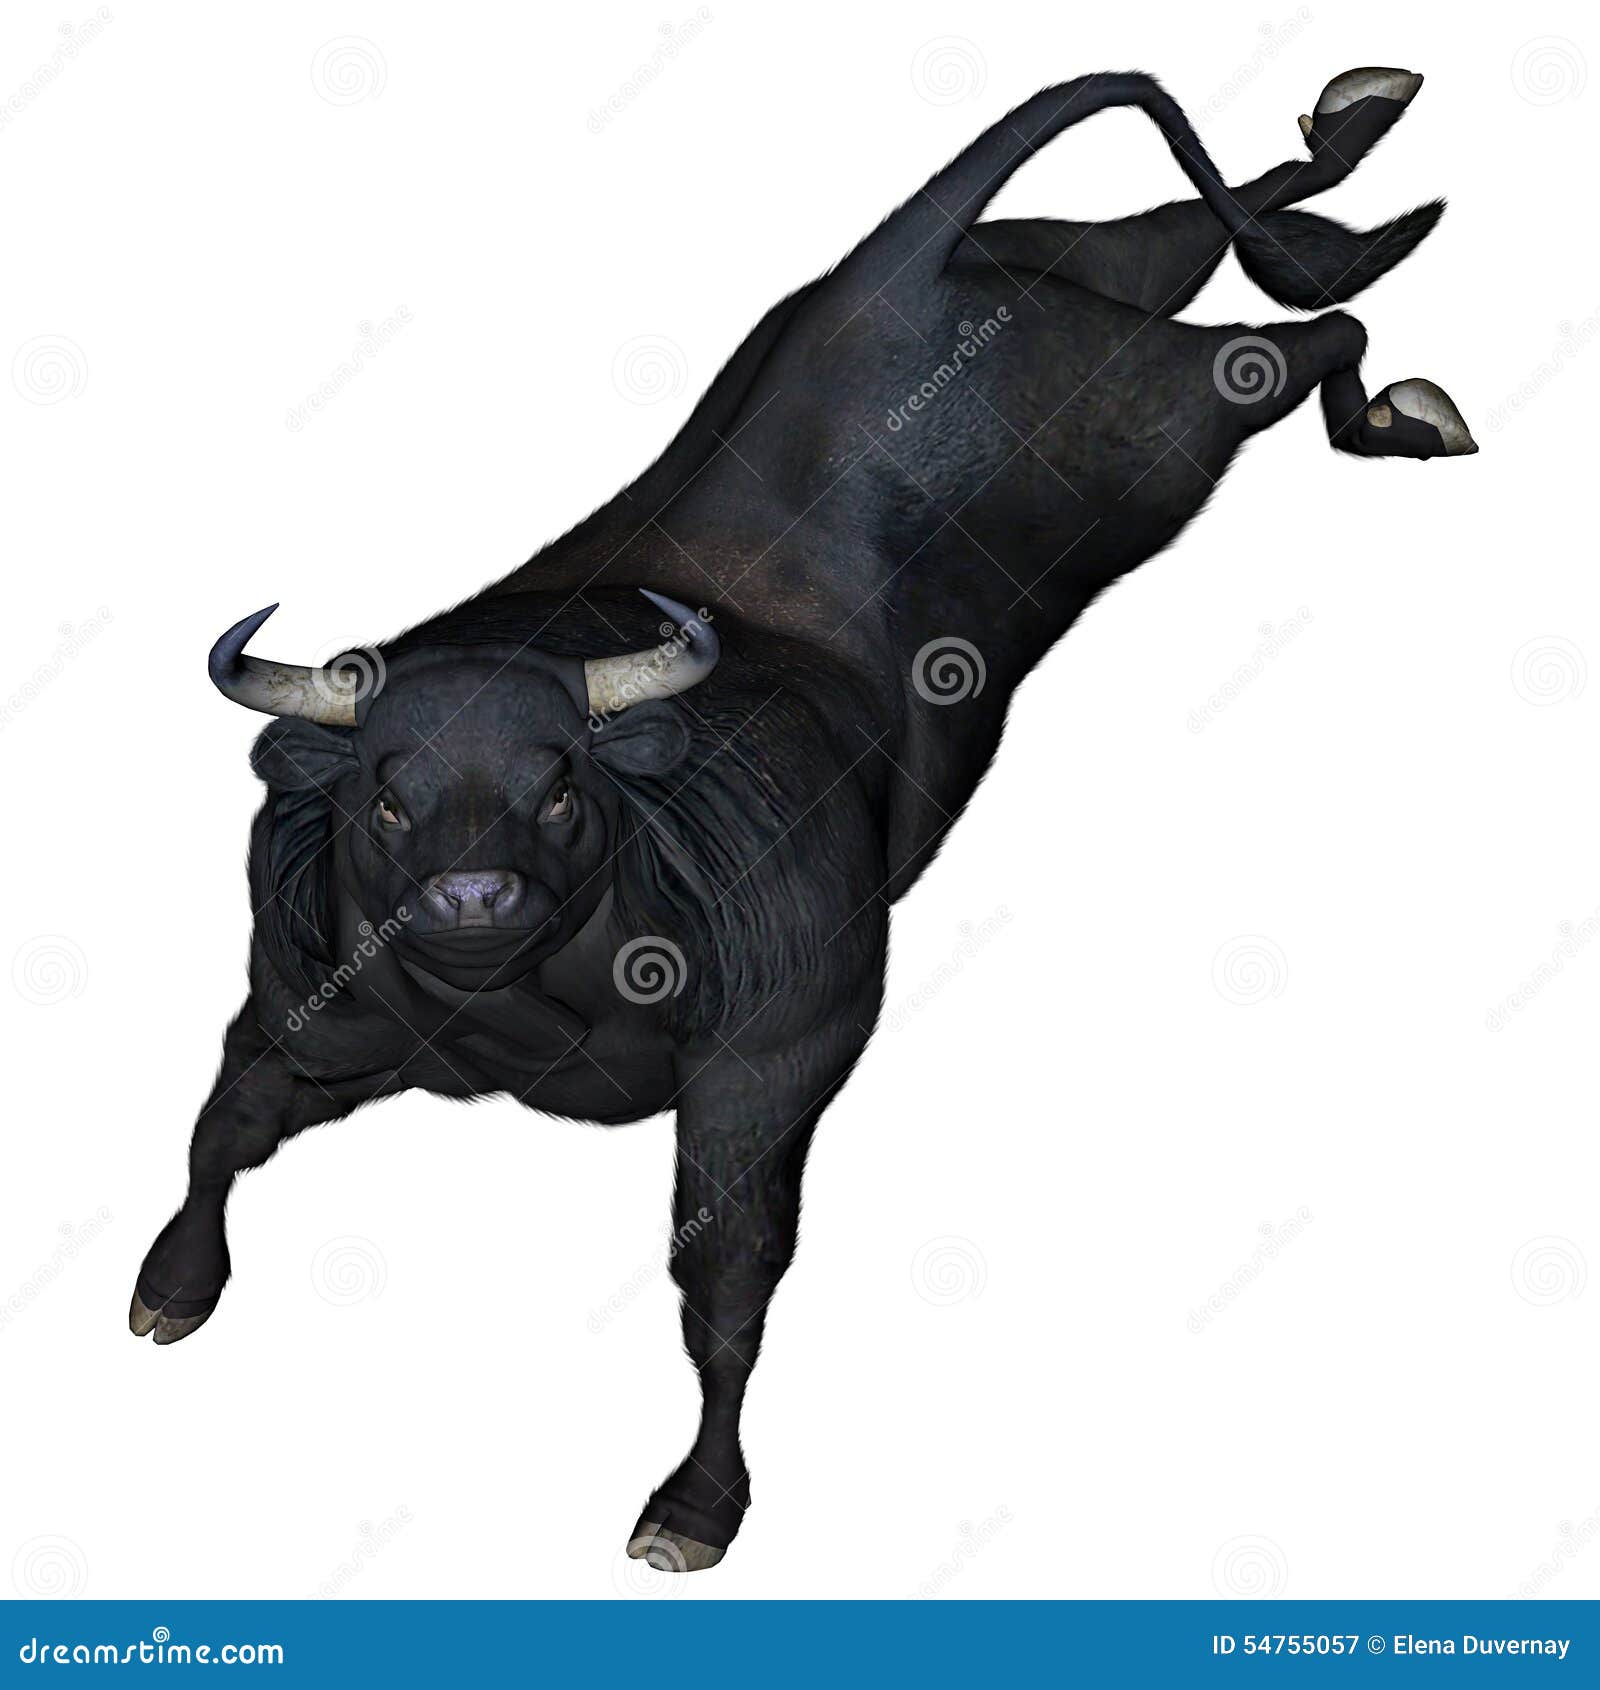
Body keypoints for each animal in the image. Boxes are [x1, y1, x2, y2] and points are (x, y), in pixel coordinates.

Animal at [131, 69, 1474, 1571]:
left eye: (562, 783)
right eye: (386, 794)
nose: (469, 900)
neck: (513, 1004)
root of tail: (889, 280)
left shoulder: (772, 1060)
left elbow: (722, 1277)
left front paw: (693, 1507)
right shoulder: (309, 1003)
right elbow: (226, 1119)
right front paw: (170, 1286)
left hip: (1170, 423)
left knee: (1307, 338)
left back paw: (1404, 398)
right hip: (1094, 276)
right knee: (1205, 228)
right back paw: (1355, 127)